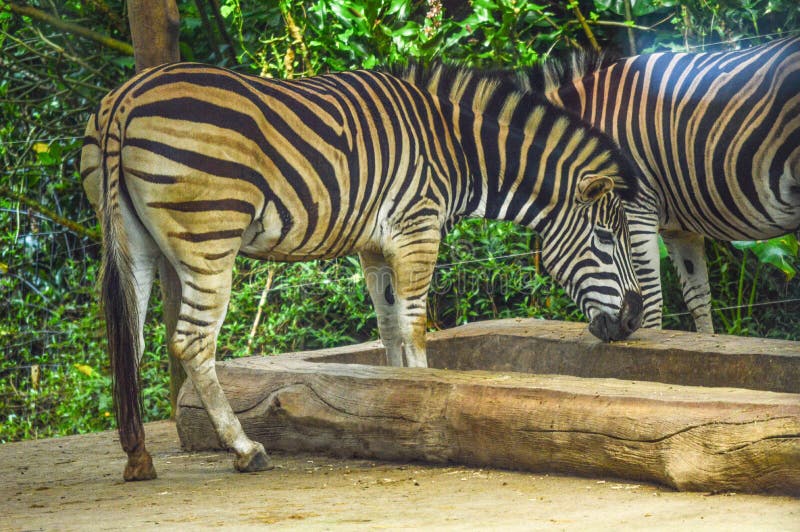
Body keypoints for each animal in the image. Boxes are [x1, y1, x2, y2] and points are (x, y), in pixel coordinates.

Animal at [80, 62, 643, 480]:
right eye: (605, 238)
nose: (633, 320)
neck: (454, 148)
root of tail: (124, 99)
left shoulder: (375, 247)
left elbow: (390, 329)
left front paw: (394, 410)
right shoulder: (418, 229)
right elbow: (415, 329)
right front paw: (424, 405)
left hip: (133, 240)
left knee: (127, 339)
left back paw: (138, 456)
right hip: (209, 237)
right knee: (192, 342)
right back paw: (245, 449)